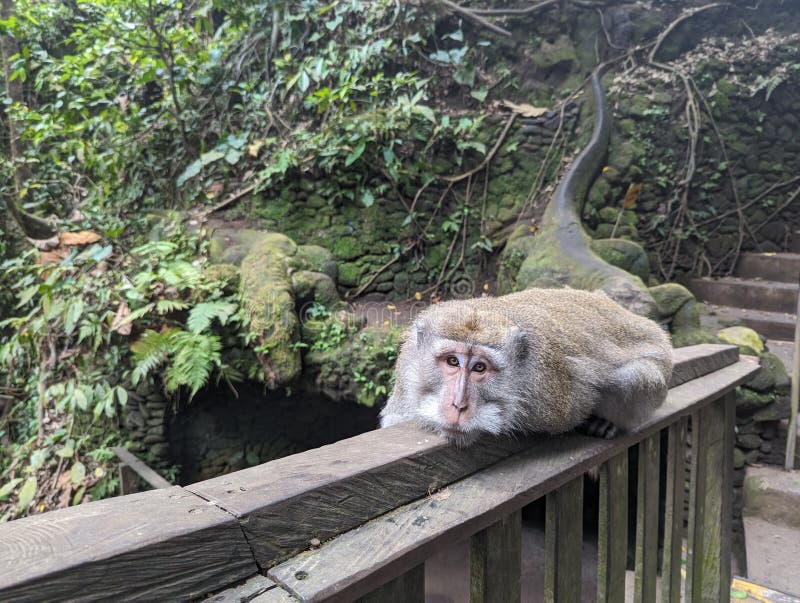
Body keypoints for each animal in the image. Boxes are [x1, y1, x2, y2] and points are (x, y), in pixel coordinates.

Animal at [379, 288, 672, 446]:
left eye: (479, 368)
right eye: (452, 361)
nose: (459, 405)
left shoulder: (554, 401)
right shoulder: (407, 368)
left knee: (632, 376)